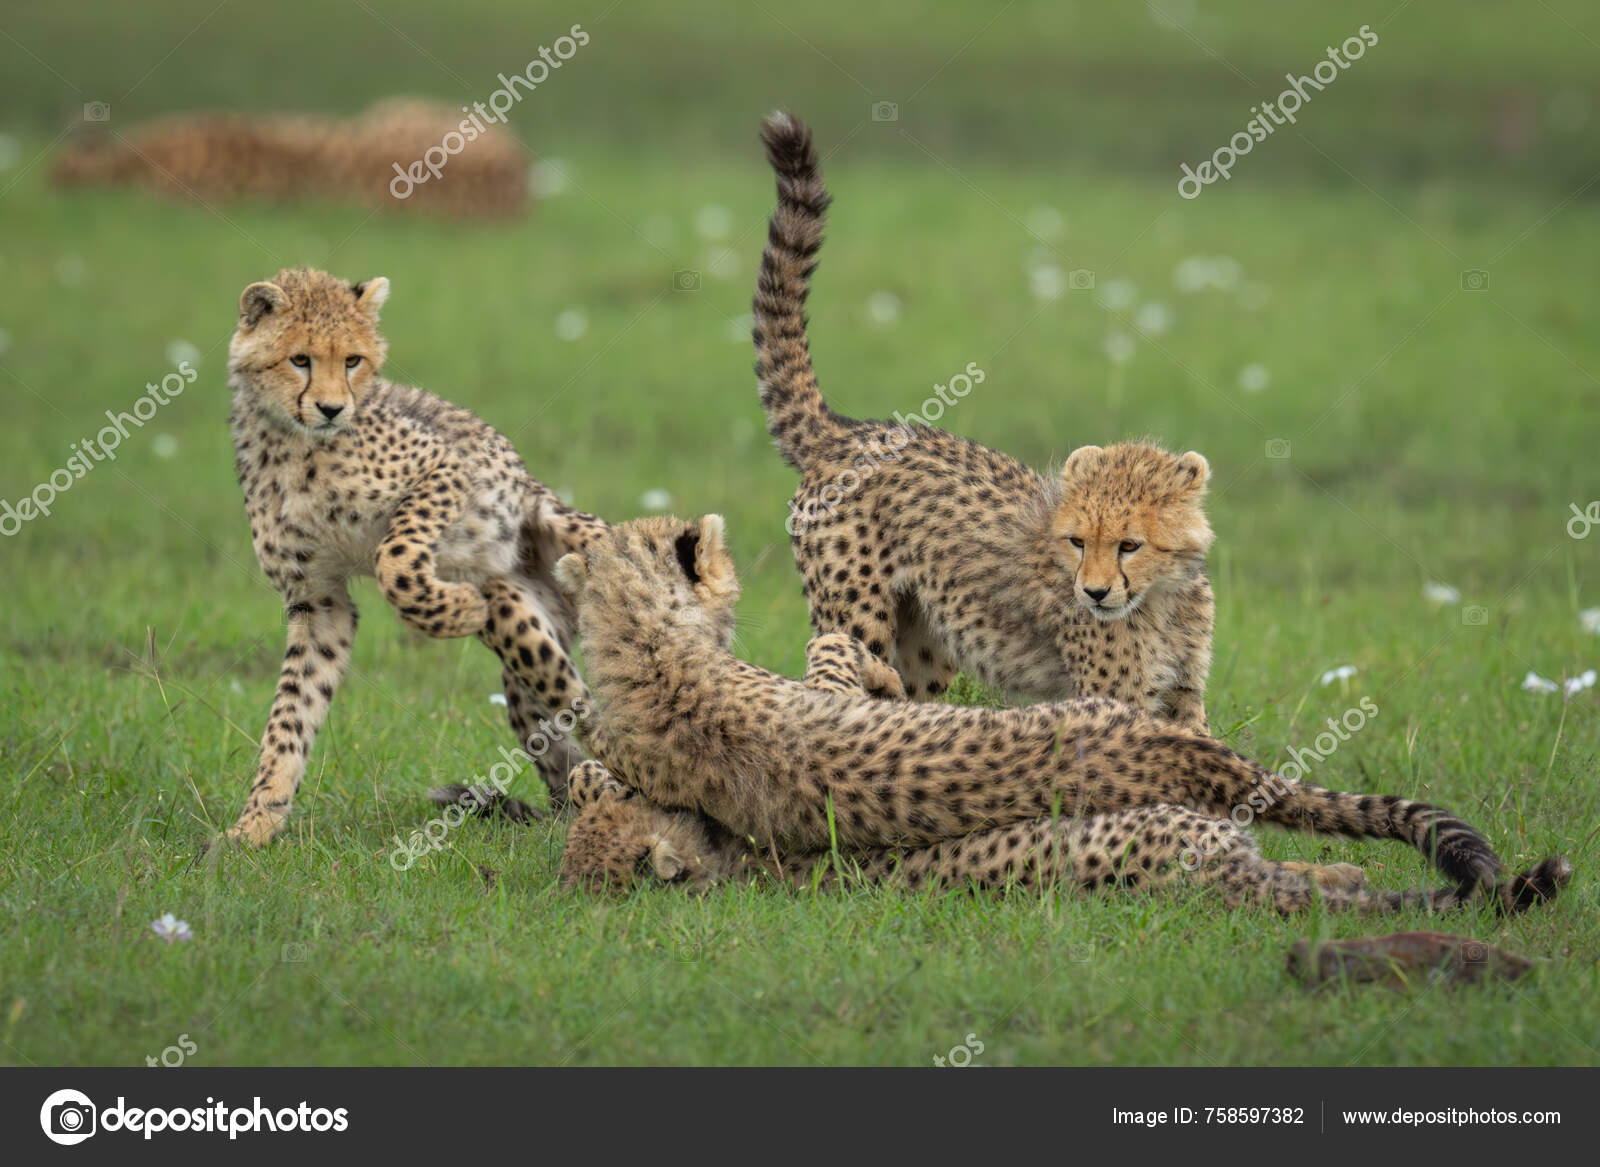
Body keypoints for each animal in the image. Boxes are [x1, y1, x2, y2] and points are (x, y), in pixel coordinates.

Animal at [225, 266, 606, 845]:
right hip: (524, 655)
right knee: (566, 711)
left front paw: (461, 608)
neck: (297, 442)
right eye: (300, 359)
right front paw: (256, 823)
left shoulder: (444, 467)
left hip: (568, 529)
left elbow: (394, 555)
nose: (332, 408)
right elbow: (290, 714)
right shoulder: (318, 601)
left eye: (353, 360)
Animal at [753, 113, 1212, 729]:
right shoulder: (1118, 698)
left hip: (926, 642)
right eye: (1076, 540)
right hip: (856, 616)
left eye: (1129, 545)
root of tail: (850, 430)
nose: (1093, 594)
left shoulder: (1184, 695)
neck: (1160, 596)